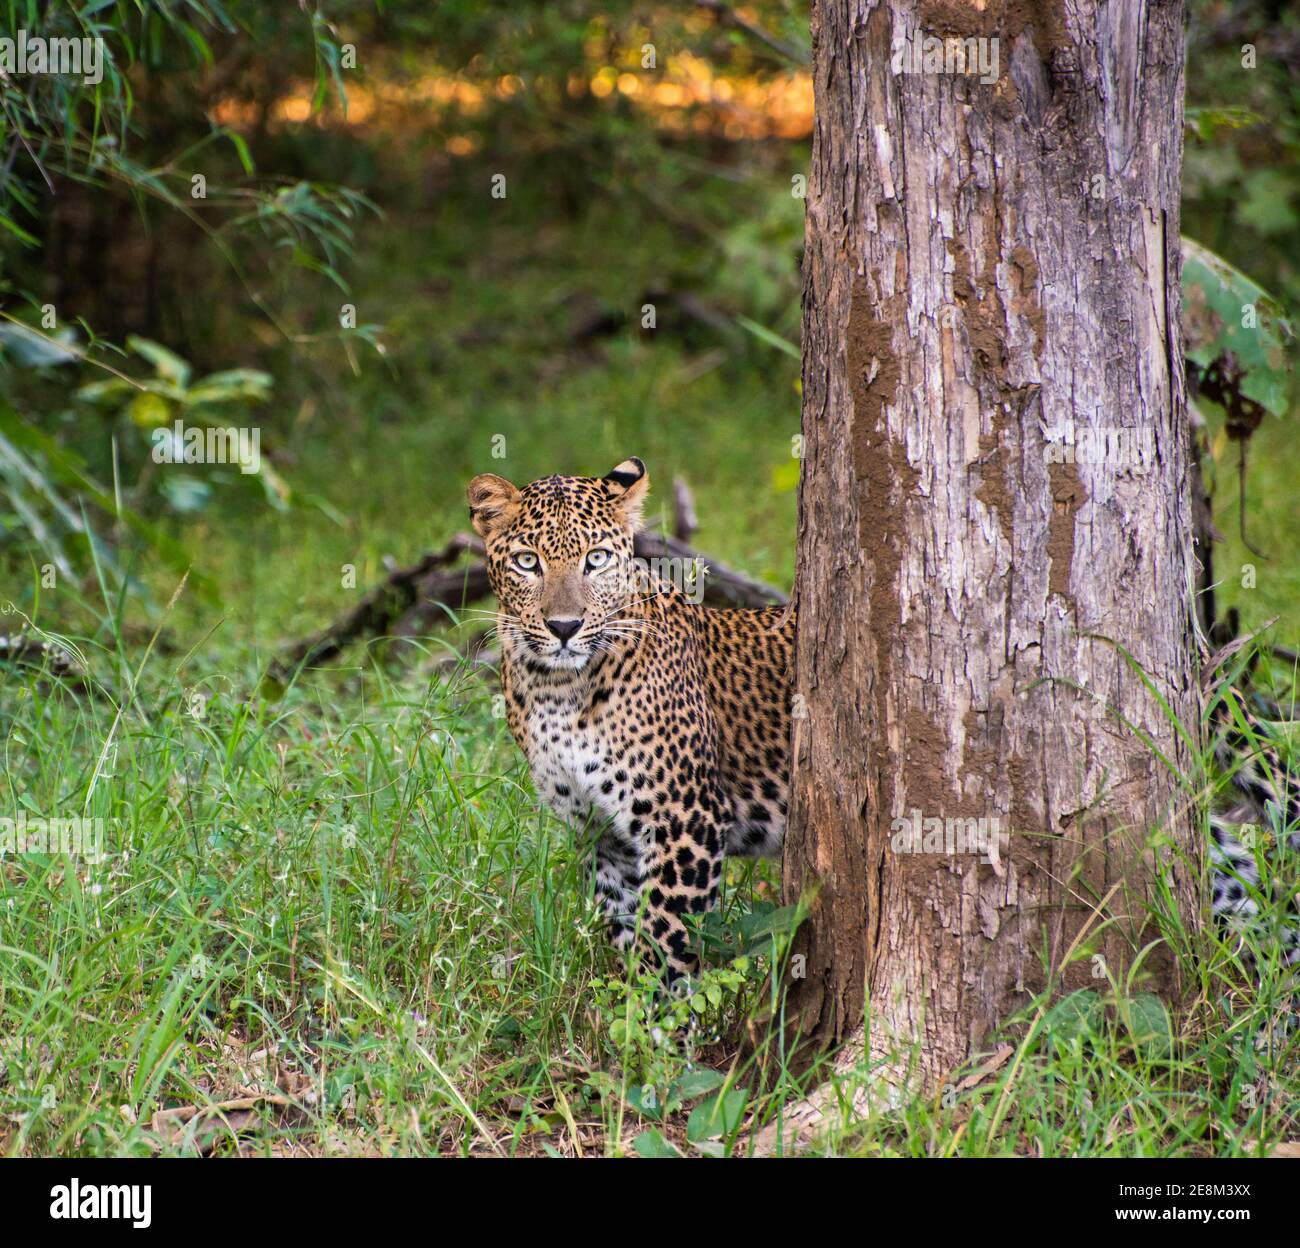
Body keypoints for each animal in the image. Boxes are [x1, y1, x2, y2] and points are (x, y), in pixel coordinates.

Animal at [467, 457, 793, 978]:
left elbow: (664, 940)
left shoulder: (686, 822)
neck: (555, 691)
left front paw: (660, 1003)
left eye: (596, 559)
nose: (564, 627)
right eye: (528, 562)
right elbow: (626, 928)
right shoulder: (601, 833)